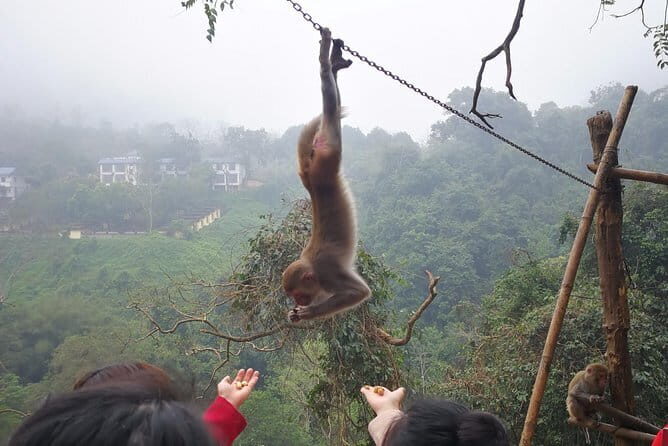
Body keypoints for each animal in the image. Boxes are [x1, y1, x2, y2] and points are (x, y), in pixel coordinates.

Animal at [281, 27, 371, 323]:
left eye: (299, 295)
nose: (299, 302)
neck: (312, 266)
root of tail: (311, 178)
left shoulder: (329, 274)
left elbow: (359, 292)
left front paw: (306, 314)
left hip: (325, 156)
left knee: (330, 111)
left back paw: (325, 63)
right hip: (319, 164)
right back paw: (334, 64)